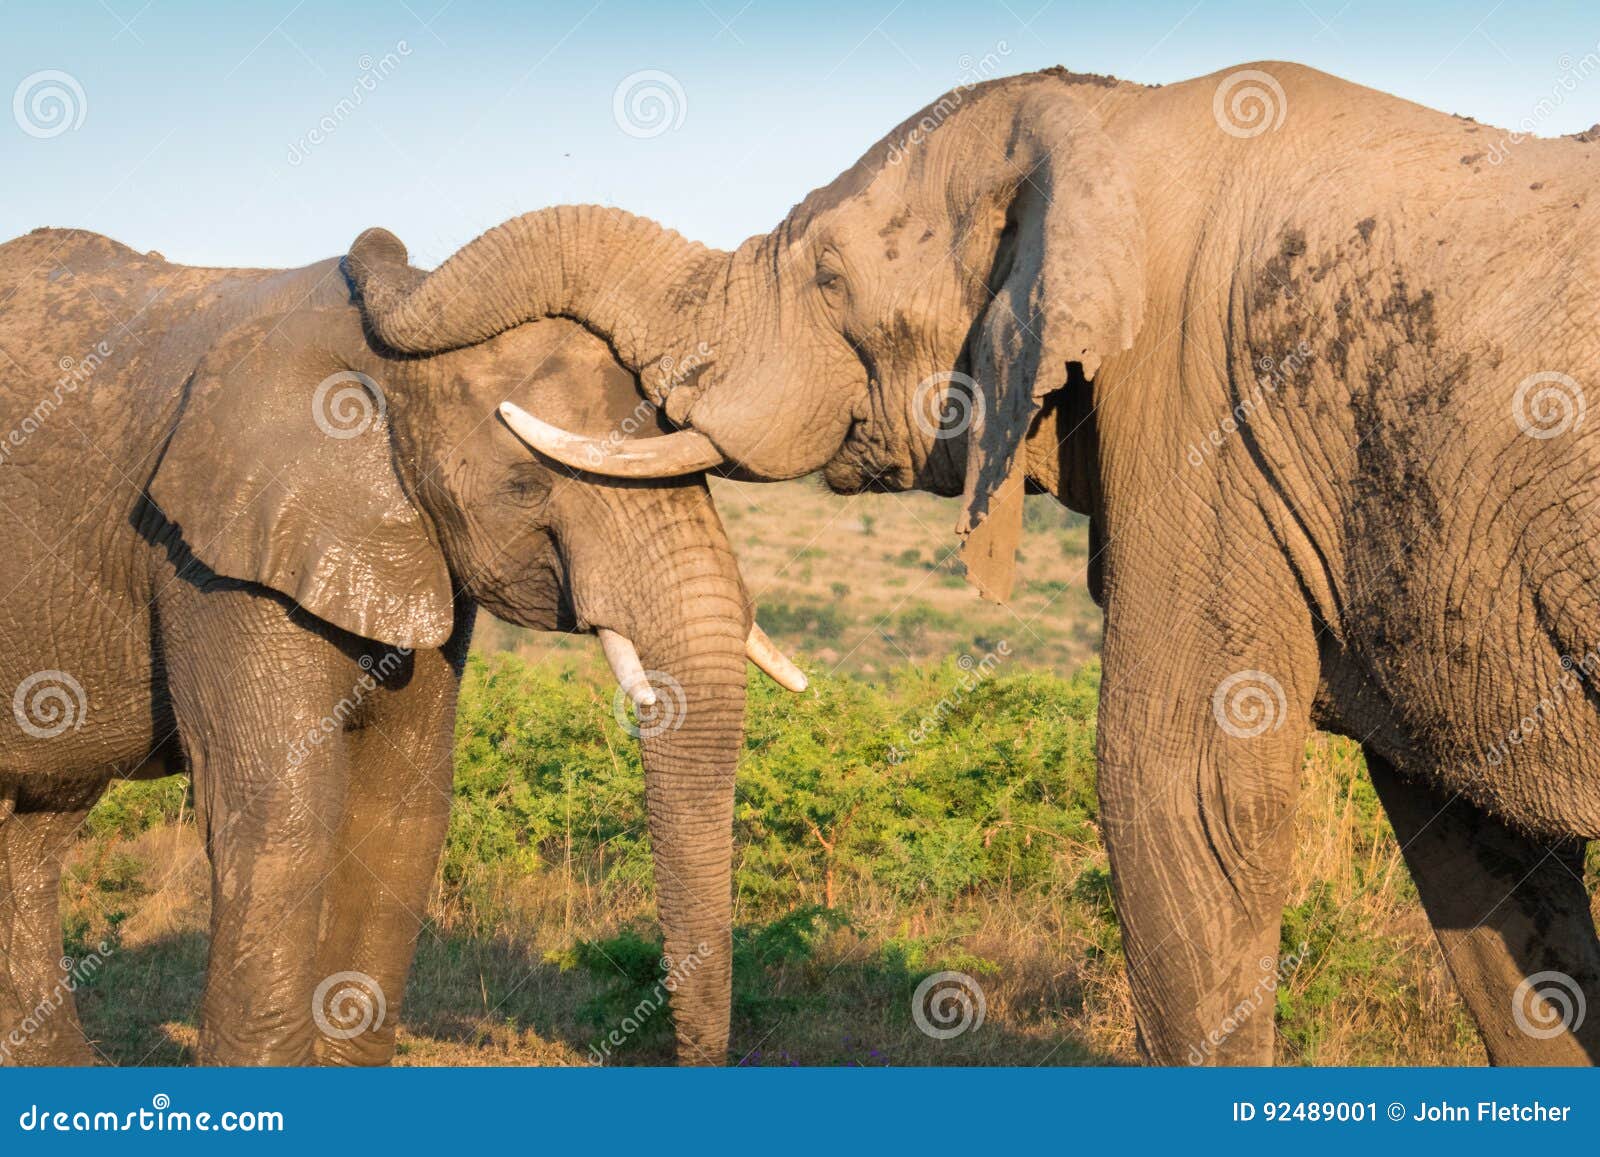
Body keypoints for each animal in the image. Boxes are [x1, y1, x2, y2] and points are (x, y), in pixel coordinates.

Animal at [0, 225, 804, 1066]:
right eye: (525, 487)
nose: (372, 243)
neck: (375, 352)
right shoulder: (211, 551)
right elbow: (282, 814)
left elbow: (404, 807)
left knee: (35, 834)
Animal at [342, 62, 1600, 1065]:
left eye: (829, 278)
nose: (367, 250)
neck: (1114, 119)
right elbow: (1482, 861)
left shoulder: (1199, 418)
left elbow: (1177, 785)